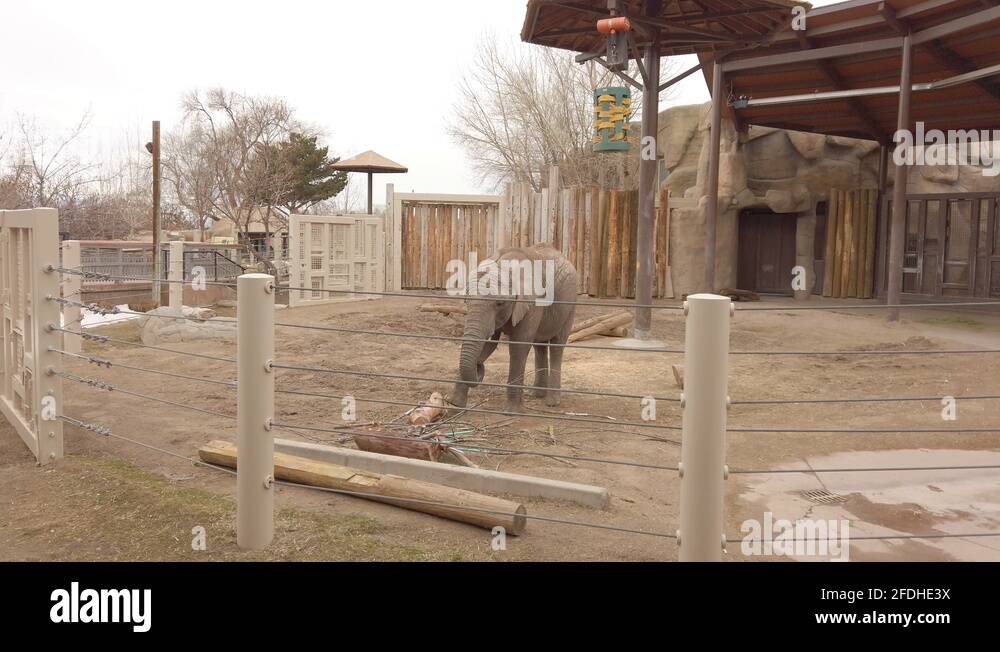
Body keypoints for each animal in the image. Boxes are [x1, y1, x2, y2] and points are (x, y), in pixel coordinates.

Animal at [448, 244, 578, 412]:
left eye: (499, 303)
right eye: (466, 301)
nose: (479, 367)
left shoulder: (532, 302)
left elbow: (518, 347)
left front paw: (510, 411)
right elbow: (488, 344)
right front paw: (455, 404)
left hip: (570, 303)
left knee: (557, 345)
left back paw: (552, 402)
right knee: (539, 345)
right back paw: (537, 394)